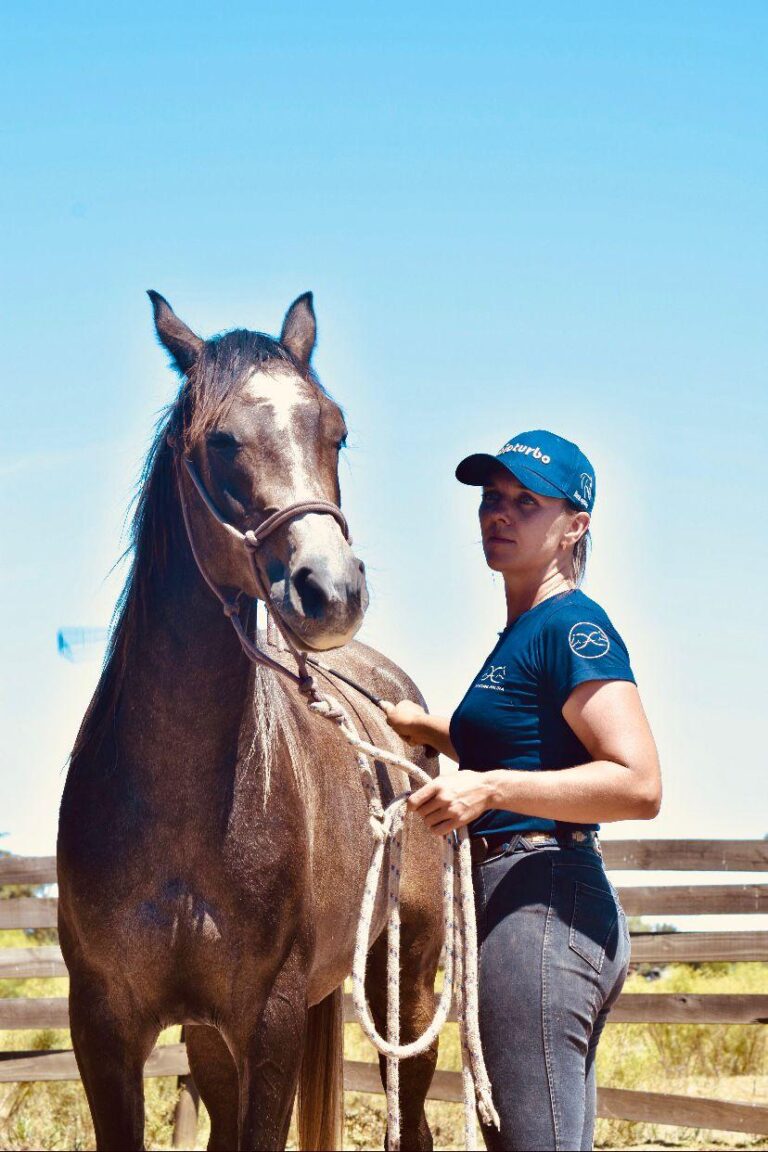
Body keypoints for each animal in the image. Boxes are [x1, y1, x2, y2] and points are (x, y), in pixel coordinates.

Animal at [57, 291, 444, 1151]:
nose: (330, 588)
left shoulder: (270, 1019)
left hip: (406, 987)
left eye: (336, 430)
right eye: (221, 440)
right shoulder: (104, 1024)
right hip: (212, 1039)